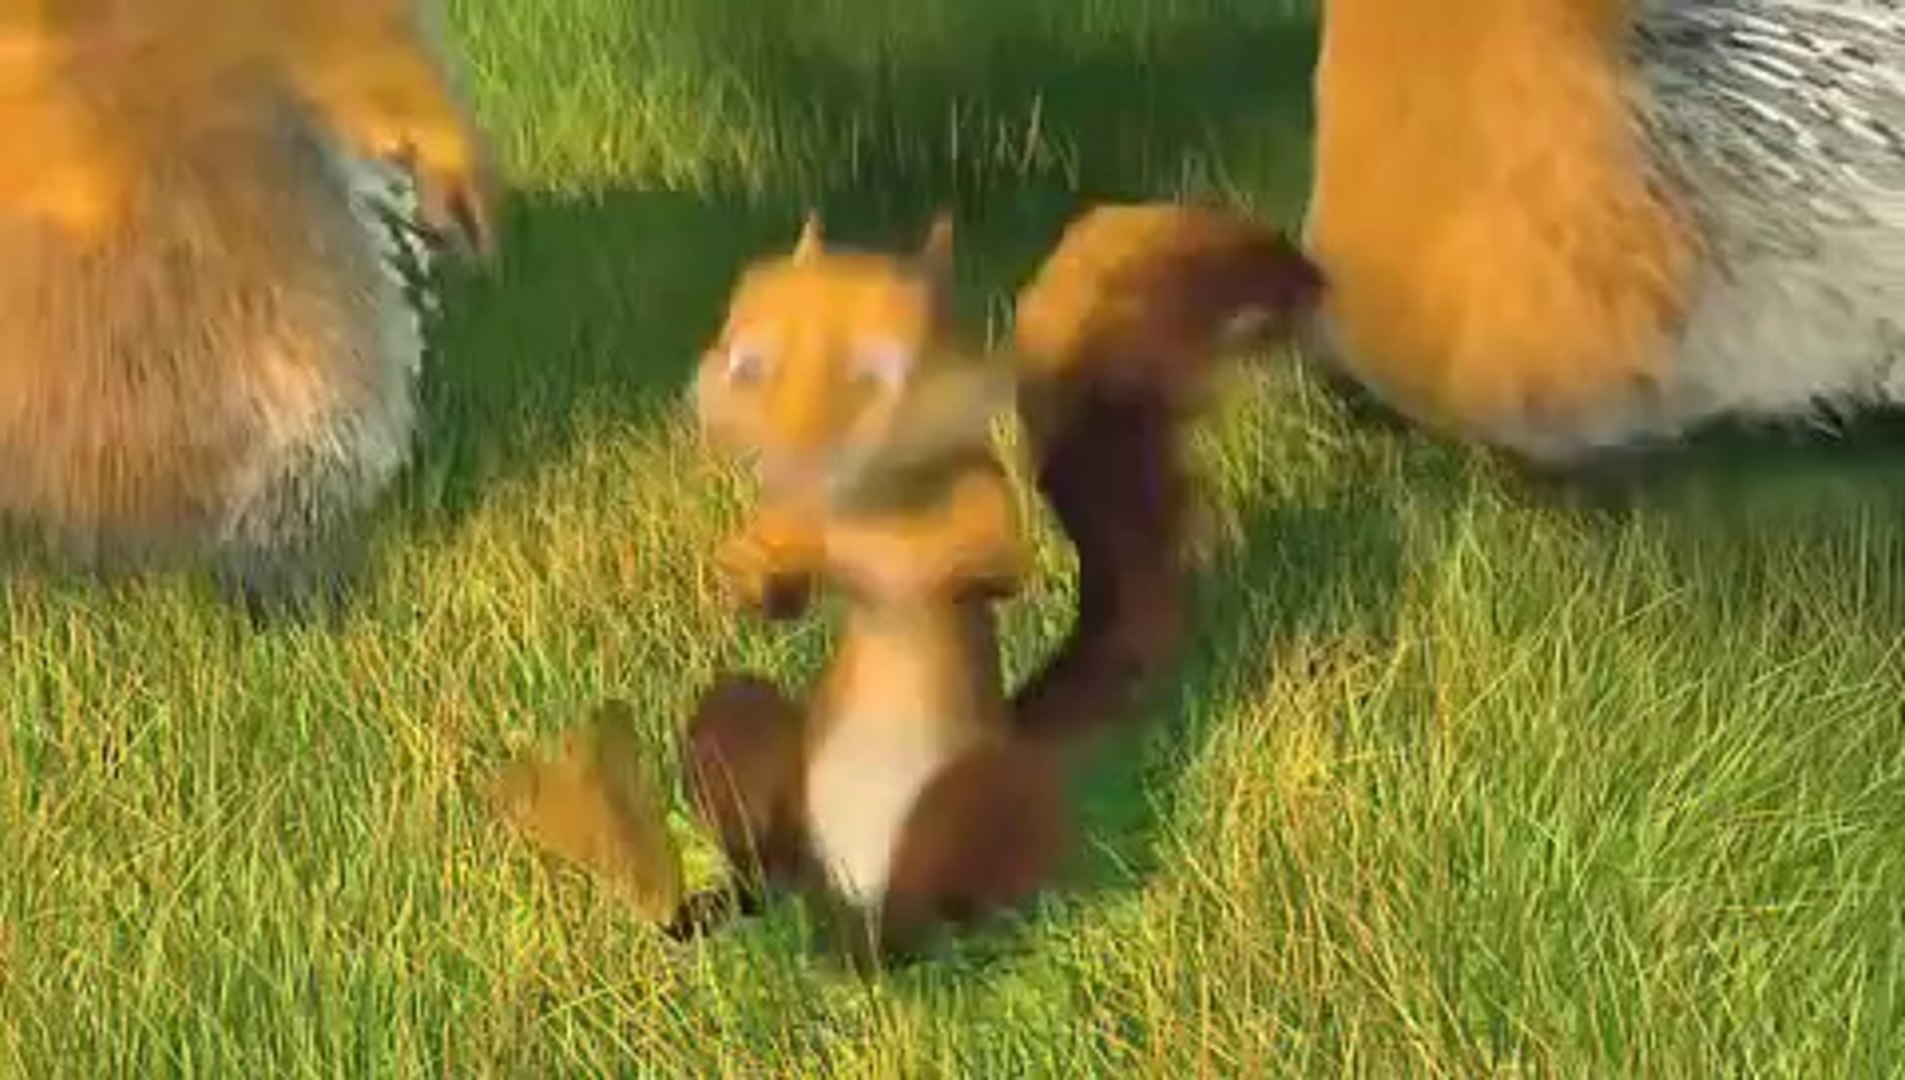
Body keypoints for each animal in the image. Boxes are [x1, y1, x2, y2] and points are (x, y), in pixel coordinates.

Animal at [675, 205, 1323, 963]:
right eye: (749, 368)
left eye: (874, 378)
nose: (790, 460)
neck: (873, 495)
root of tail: (850, 897)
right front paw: (756, 557)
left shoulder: (983, 514)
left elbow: (953, 558)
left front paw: (809, 535)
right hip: (756, 763)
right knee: (771, 866)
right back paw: (732, 910)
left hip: (974, 799)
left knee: (937, 902)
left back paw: (910, 940)